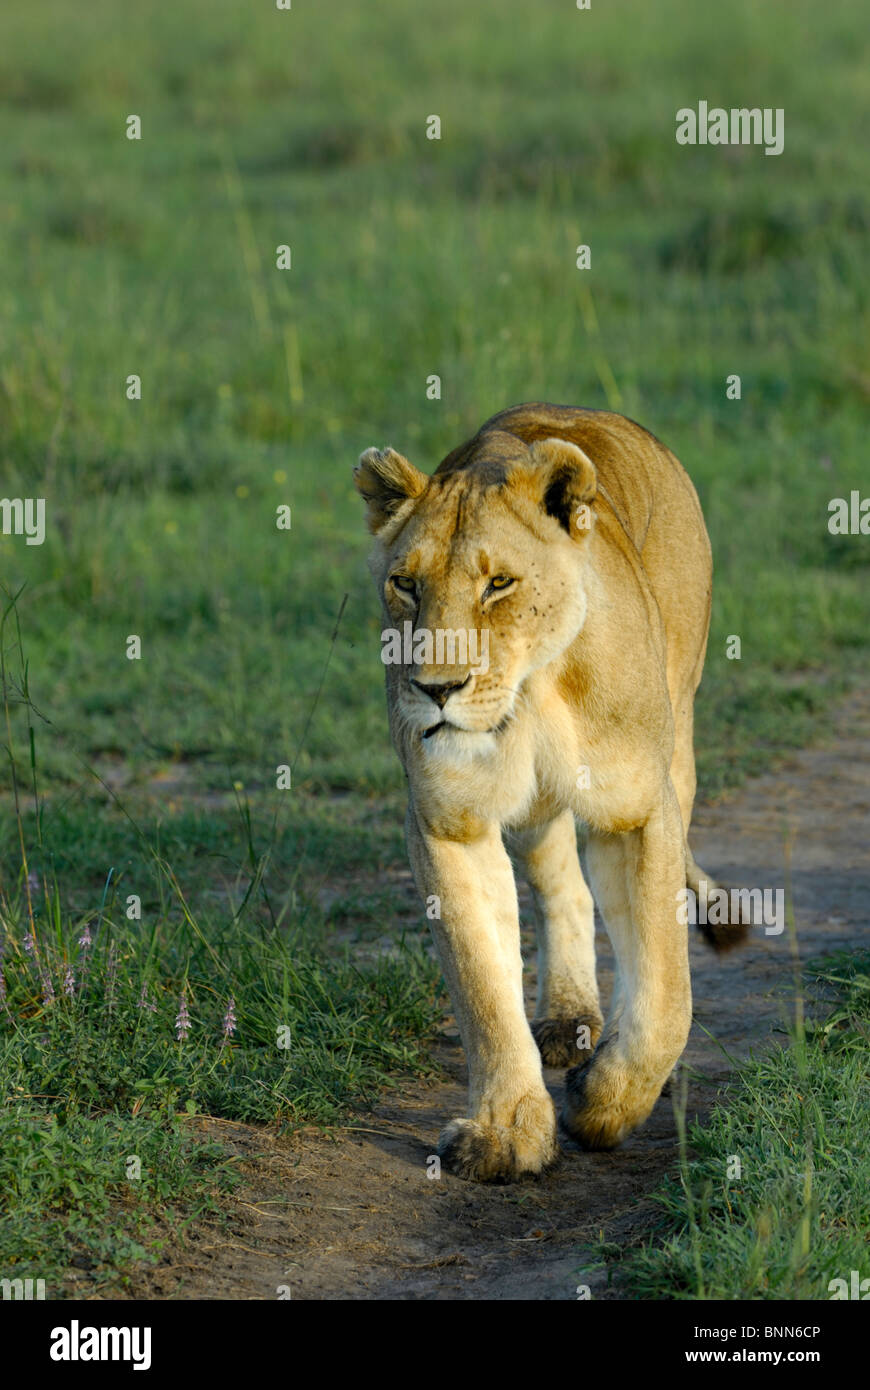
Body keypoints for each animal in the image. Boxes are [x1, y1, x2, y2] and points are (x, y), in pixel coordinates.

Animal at [354, 403, 745, 1182]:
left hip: (679, 735)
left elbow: (666, 991)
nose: (435, 690)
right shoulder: (450, 820)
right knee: (563, 882)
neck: (530, 691)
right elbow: (481, 984)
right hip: (537, 811)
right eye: (406, 585)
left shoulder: (638, 810)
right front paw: (506, 1133)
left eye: (499, 584)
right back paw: (570, 1017)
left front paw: (607, 1103)